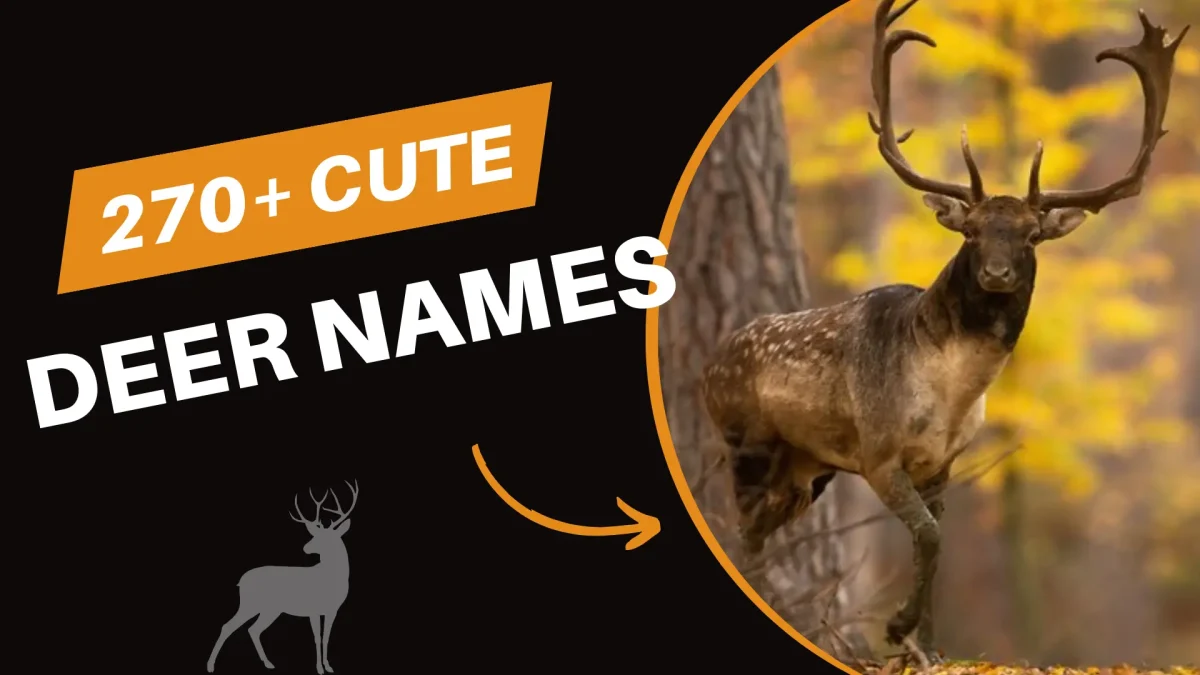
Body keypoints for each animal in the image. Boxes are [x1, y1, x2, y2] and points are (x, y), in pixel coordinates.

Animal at [207, 480, 359, 674]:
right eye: (315, 535)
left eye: (326, 537)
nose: (305, 548)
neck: (332, 577)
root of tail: (241, 581)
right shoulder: (313, 608)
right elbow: (317, 637)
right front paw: (319, 668)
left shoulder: (332, 609)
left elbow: (326, 637)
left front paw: (329, 666)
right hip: (250, 603)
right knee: (228, 626)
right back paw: (210, 665)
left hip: (270, 609)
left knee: (253, 629)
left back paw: (268, 663)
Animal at [700, 0, 1186, 663]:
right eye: (972, 231)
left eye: (1031, 235)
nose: (998, 273)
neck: (951, 393)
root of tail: (708, 366)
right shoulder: (879, 452)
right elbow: (929, 538)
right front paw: (897, 631)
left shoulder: (943, 463)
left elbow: (935, 545)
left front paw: (924, 647)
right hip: (745, 443)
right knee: (743, 535)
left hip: (807, 468)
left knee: (758, 536)